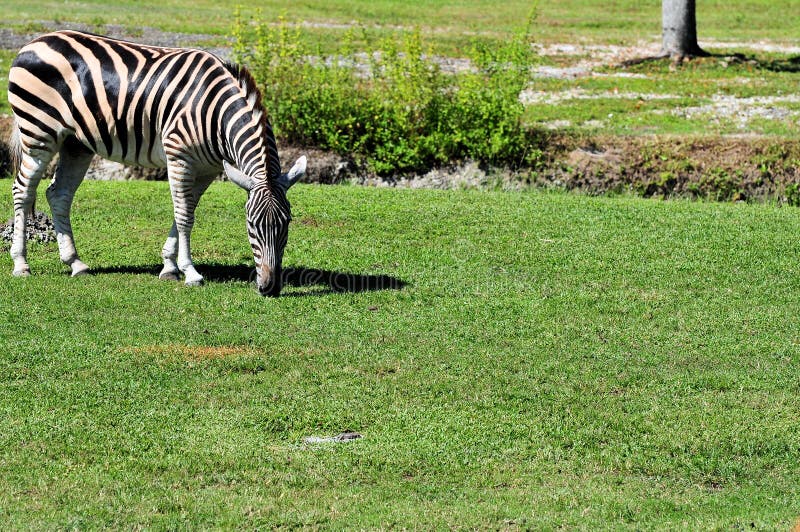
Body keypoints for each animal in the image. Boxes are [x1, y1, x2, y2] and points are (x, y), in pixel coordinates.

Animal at [7, 29, 306, 296]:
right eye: (251, 224)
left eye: (287, 222)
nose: (270, 288)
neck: (214, 113)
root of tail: (34, 42)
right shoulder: (178, 156)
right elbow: (184, 215)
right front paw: (190, 272)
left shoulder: (208, 169)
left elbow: (186, 211)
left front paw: (170, 267)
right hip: (38, 133)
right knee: (22, 191)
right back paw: (21, 264)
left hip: (75, 143)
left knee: (58, 194)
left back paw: (75, 263)